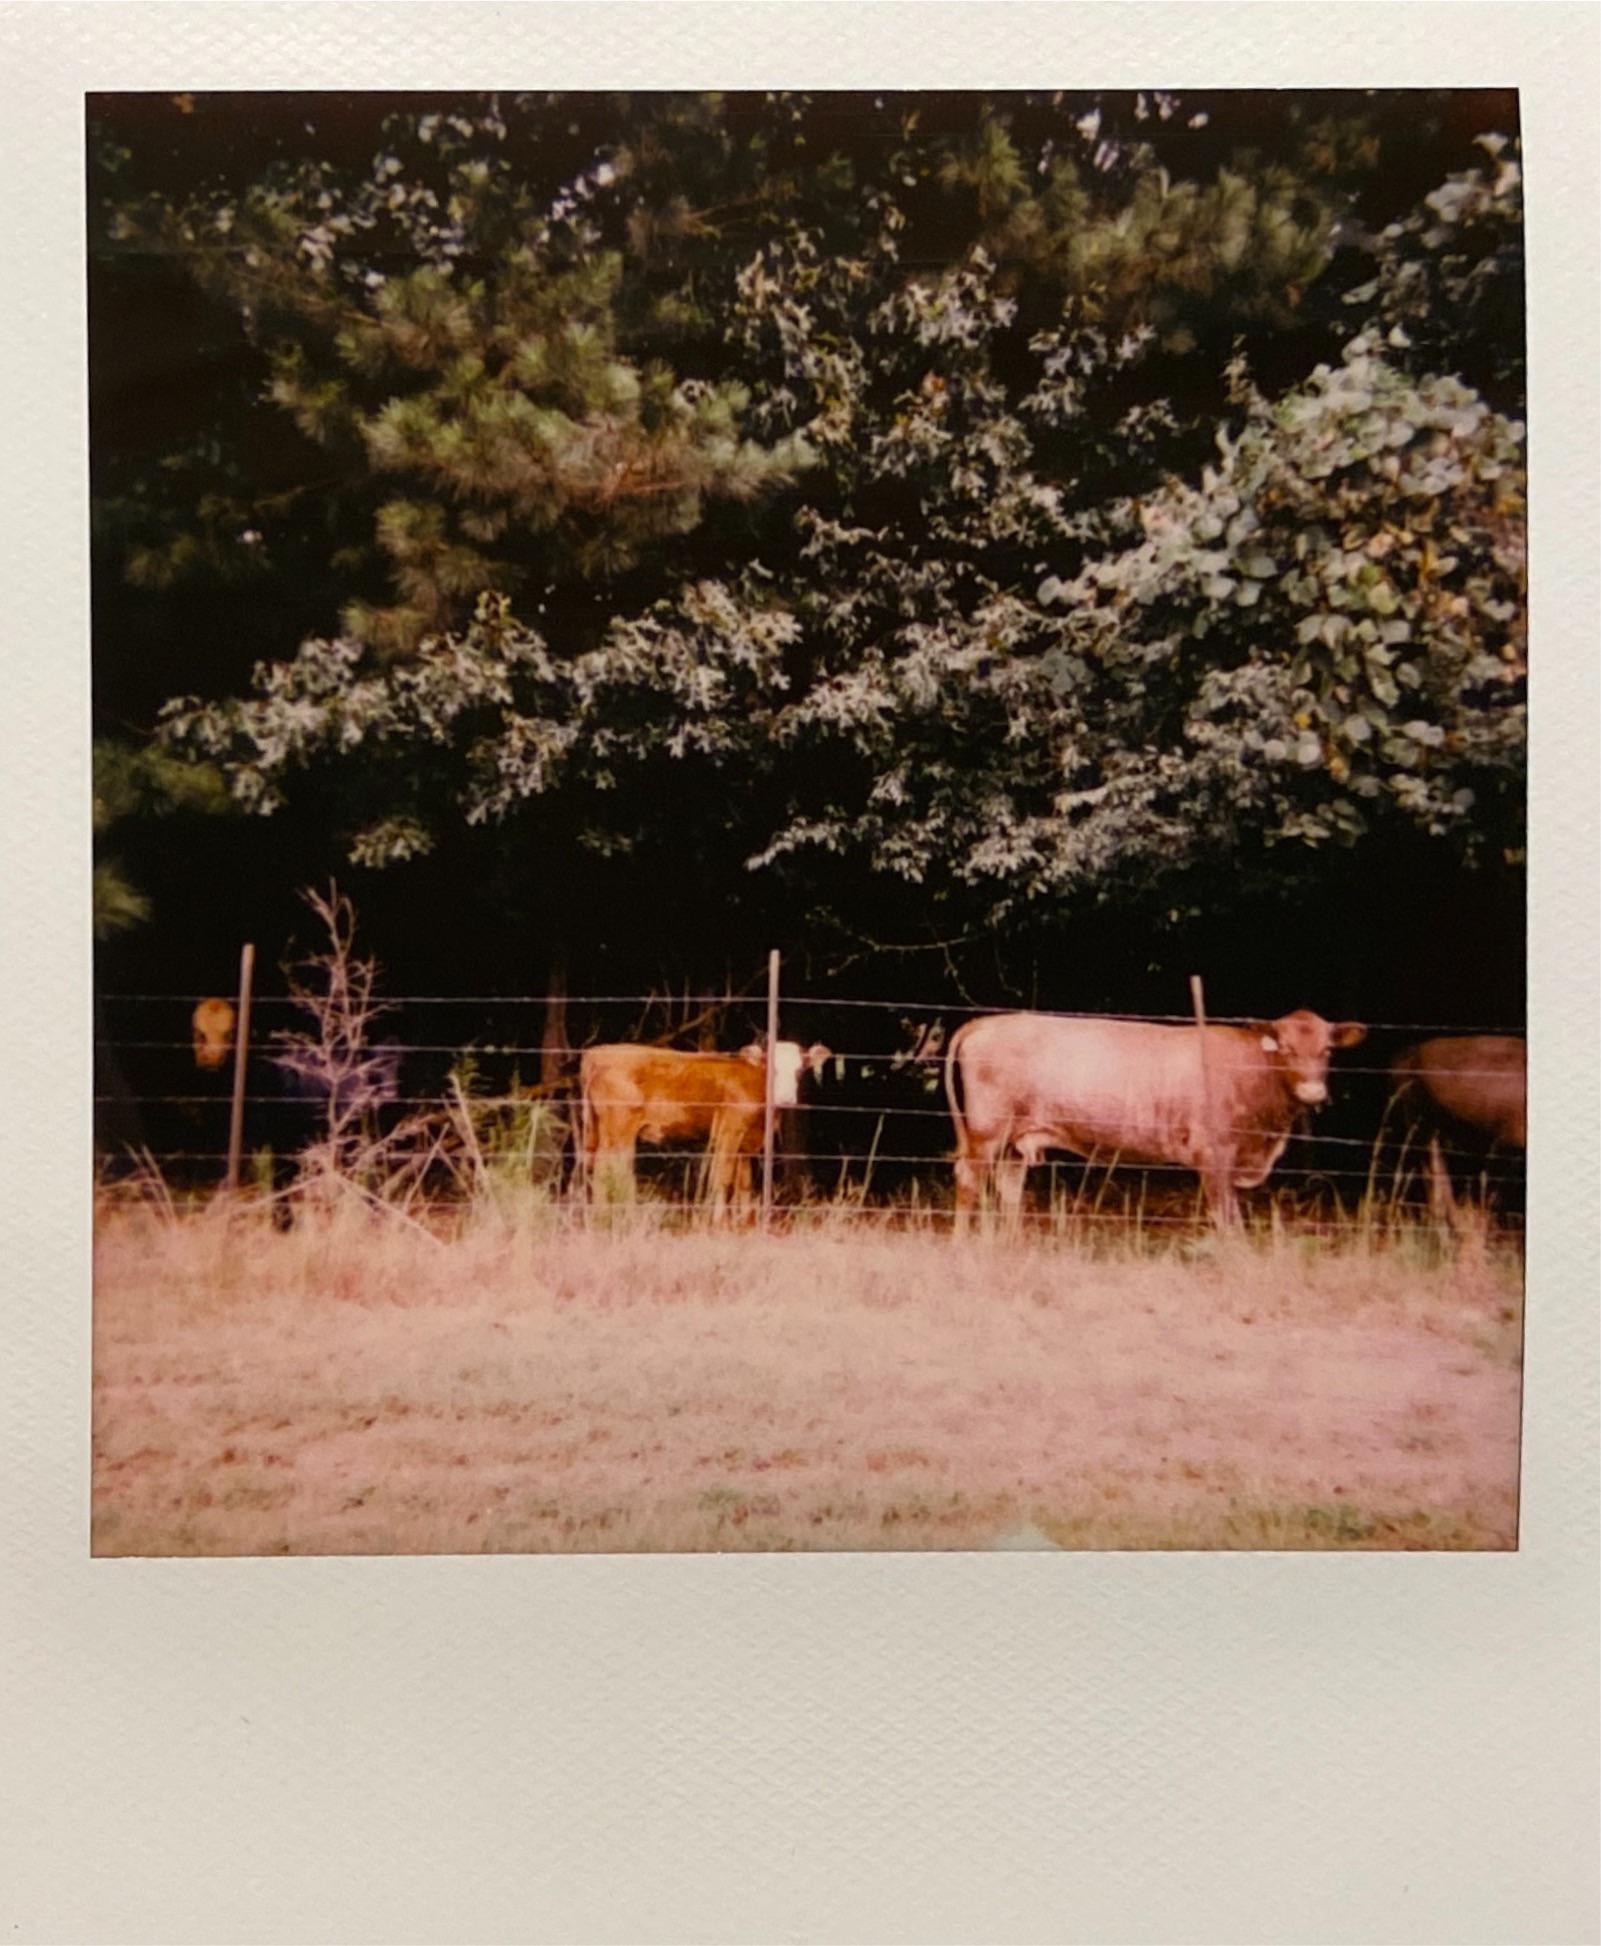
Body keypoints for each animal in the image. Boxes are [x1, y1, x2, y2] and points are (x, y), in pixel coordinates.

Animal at [579, 1040, 830, 1213]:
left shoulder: (746, 1142)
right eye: (772, 1070)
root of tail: (596, 1053)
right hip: (619, 1129)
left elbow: (744, 1183)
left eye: (799, 1071)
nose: (787, 1099)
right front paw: (719, 1224)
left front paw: (744, 1224)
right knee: (607, 1171)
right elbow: (722, 1178)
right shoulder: (729, 1131)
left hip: (598, 1129)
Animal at [944, 1009, 1367, 1230]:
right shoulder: (1213, 1154)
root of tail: (988, 1021)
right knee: (969, 1179)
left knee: (1008, 1187)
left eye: (1327, 1050)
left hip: (1016, 1139)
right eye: (1286, 1049)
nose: (1313, 1092)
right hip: (986, 1131)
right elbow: (1225, 1214)